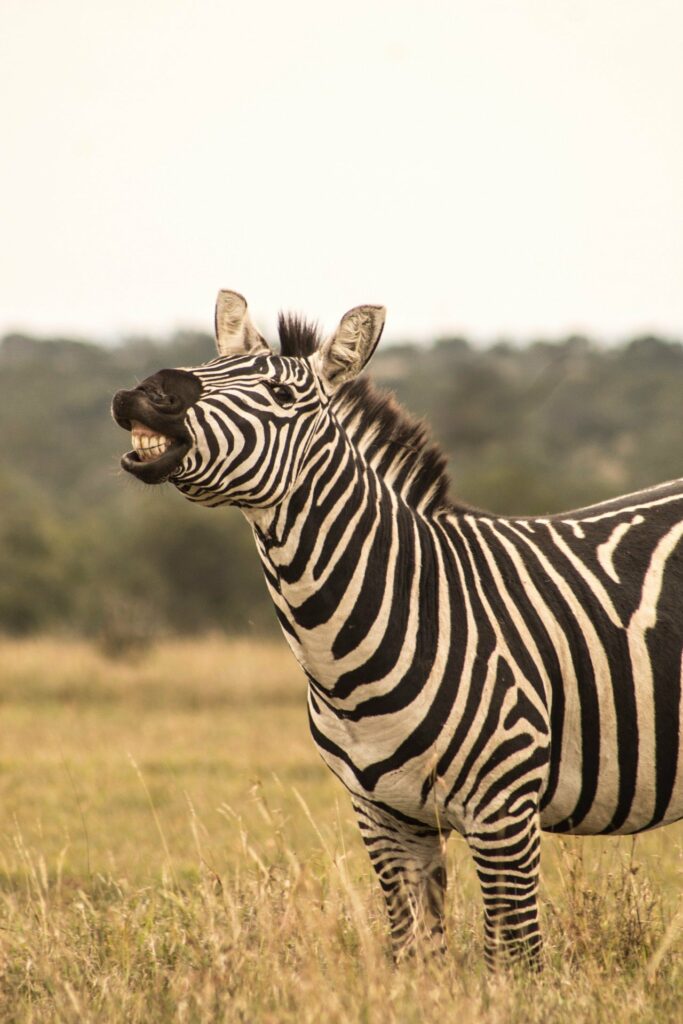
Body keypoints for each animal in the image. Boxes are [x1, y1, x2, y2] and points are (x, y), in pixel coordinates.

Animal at [112, 290, 683, 968]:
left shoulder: (506, 813)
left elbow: (514, 960)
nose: (149, 392)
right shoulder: (386, 819)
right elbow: (415, 956)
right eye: (207, 364)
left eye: (281, 394)